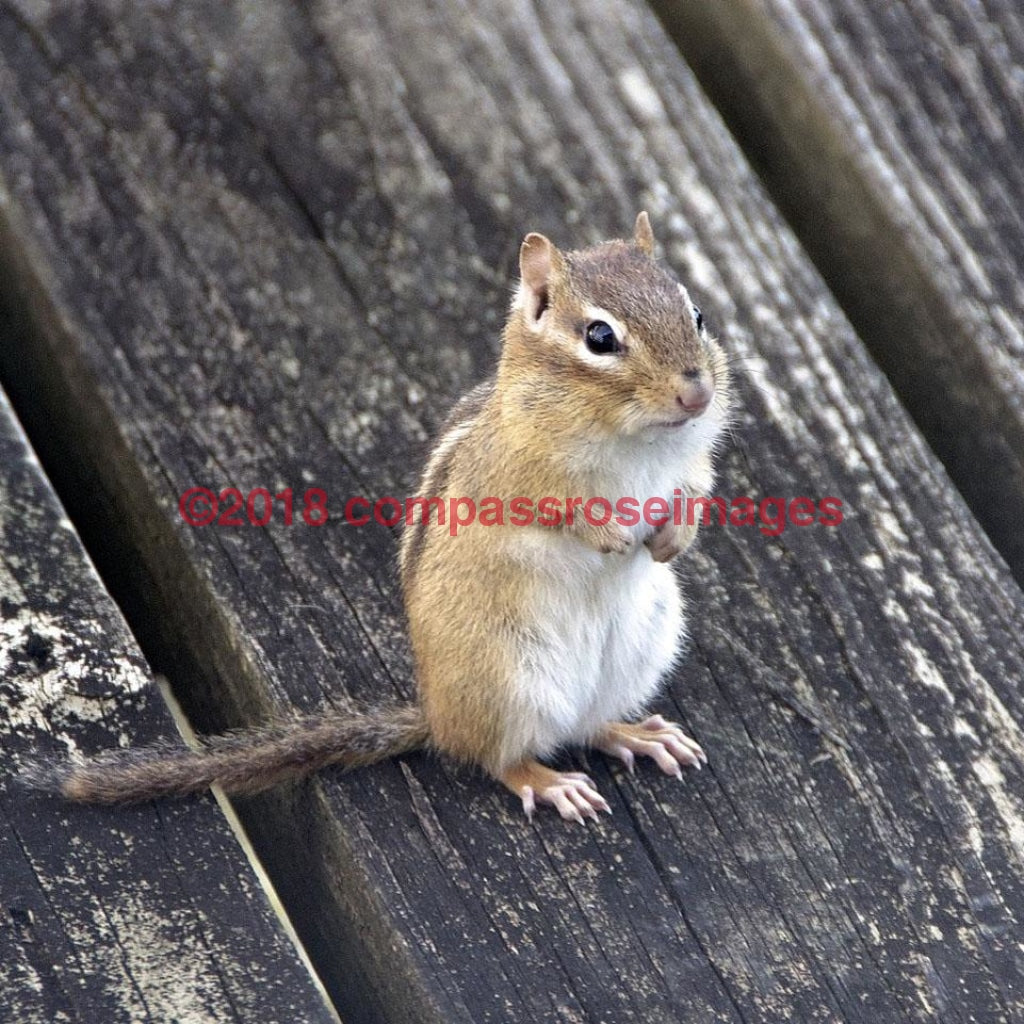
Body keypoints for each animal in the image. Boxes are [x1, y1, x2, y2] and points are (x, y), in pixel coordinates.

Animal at [35, 213, 731, 822]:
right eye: (599, 338)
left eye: (697, 314)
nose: (696, 393)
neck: (635, 441)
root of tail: (437, 713)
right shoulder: (512, 475)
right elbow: (557, 511)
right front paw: (609, 531)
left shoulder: (690, 463)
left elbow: (695, 488)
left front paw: (675, 534)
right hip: (509, 679)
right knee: (496, 758)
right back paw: (549, 781)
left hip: (643, 648)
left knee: (588, 727)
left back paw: (635, 734)